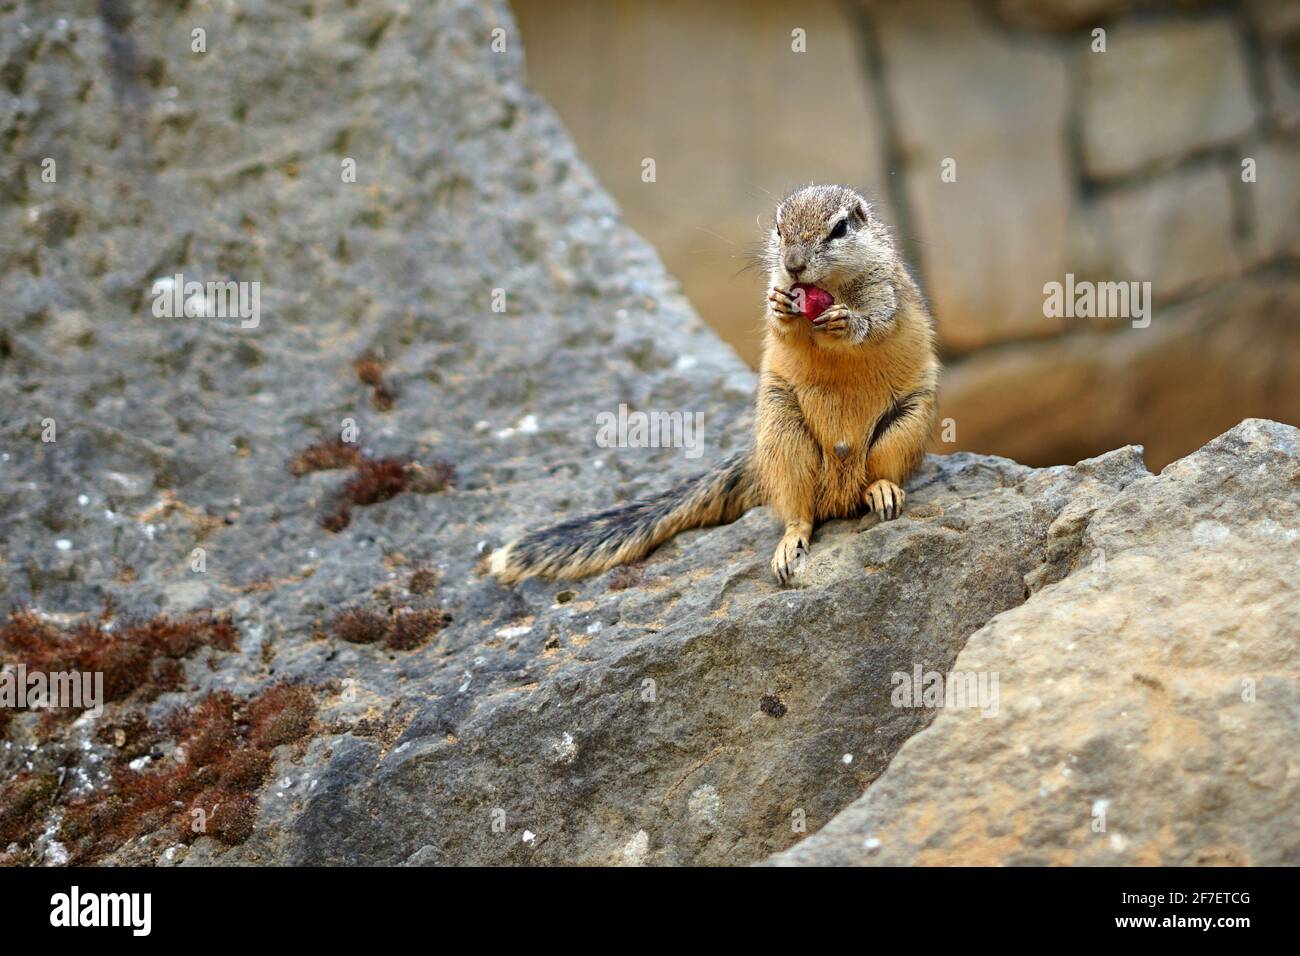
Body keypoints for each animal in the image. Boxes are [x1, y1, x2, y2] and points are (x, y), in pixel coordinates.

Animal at [491, 184, 940, 586]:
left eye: (840, 229)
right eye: (779, 228)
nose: (793, 265)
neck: (829, 289)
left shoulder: (886, 292)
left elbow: (876, 322)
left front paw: (847, 321)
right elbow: (782, 328)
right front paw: (782, 308)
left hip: (905, 425)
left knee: (881, 474)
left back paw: (882, 492)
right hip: (783, 433)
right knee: (798, 513)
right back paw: (789, 545)